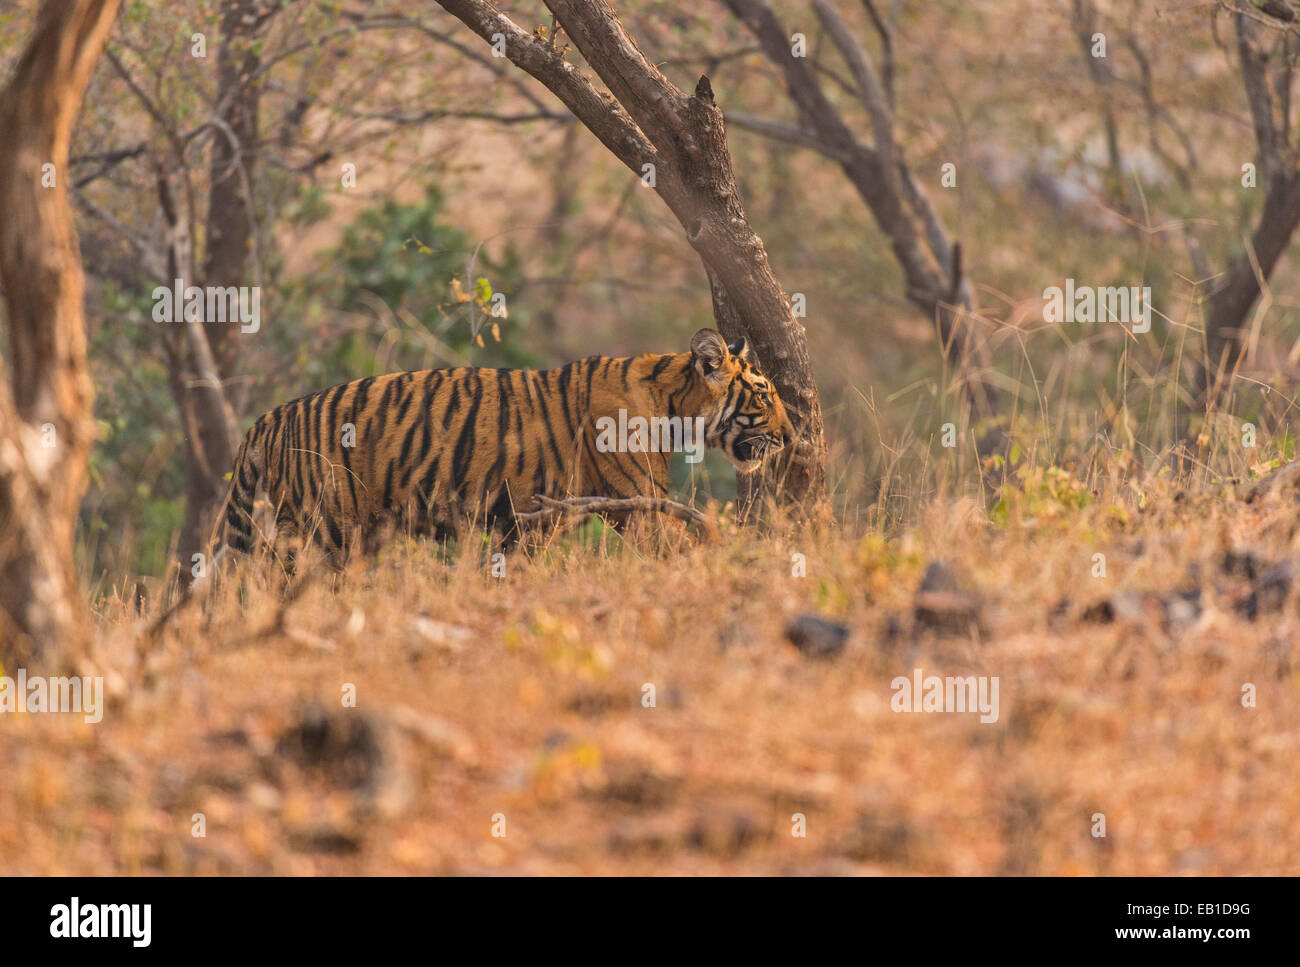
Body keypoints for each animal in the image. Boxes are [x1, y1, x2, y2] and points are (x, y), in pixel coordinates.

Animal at [210, 328, 795, 565]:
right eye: (765, 394)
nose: (792, 437)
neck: (673, 402)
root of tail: (269, 417)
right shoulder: (640, 506)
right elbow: (686, 545)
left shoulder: (525, 523)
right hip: (324, 526)